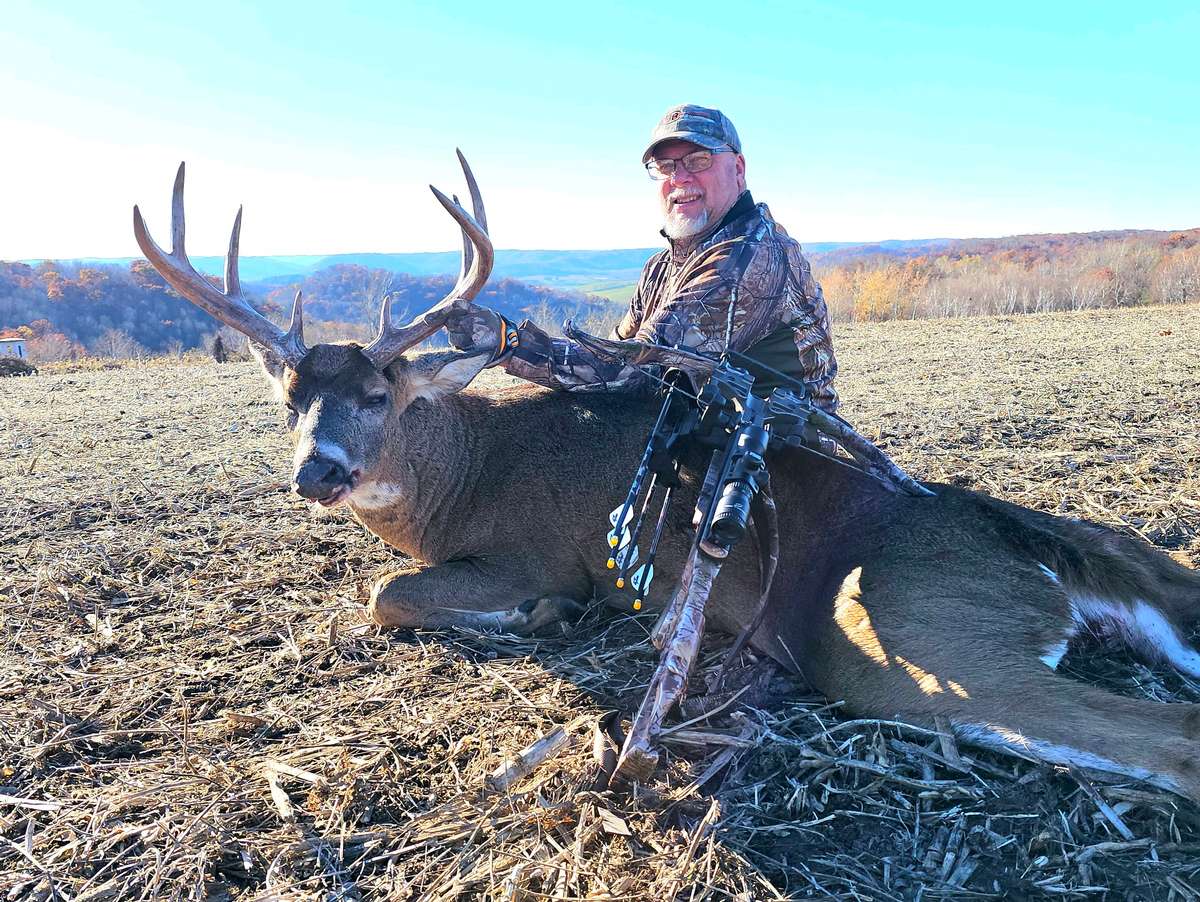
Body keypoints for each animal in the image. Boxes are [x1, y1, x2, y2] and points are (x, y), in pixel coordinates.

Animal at [132, 156, 1200, 800]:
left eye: (378, 394)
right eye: (288, 402)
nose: (317, 472)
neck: (463, 479)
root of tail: (1028, 540)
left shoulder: (532, 552)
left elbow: (387, 592)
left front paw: (540, 618)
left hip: (902, 631)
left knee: (1164, 740)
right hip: (1129, 566)